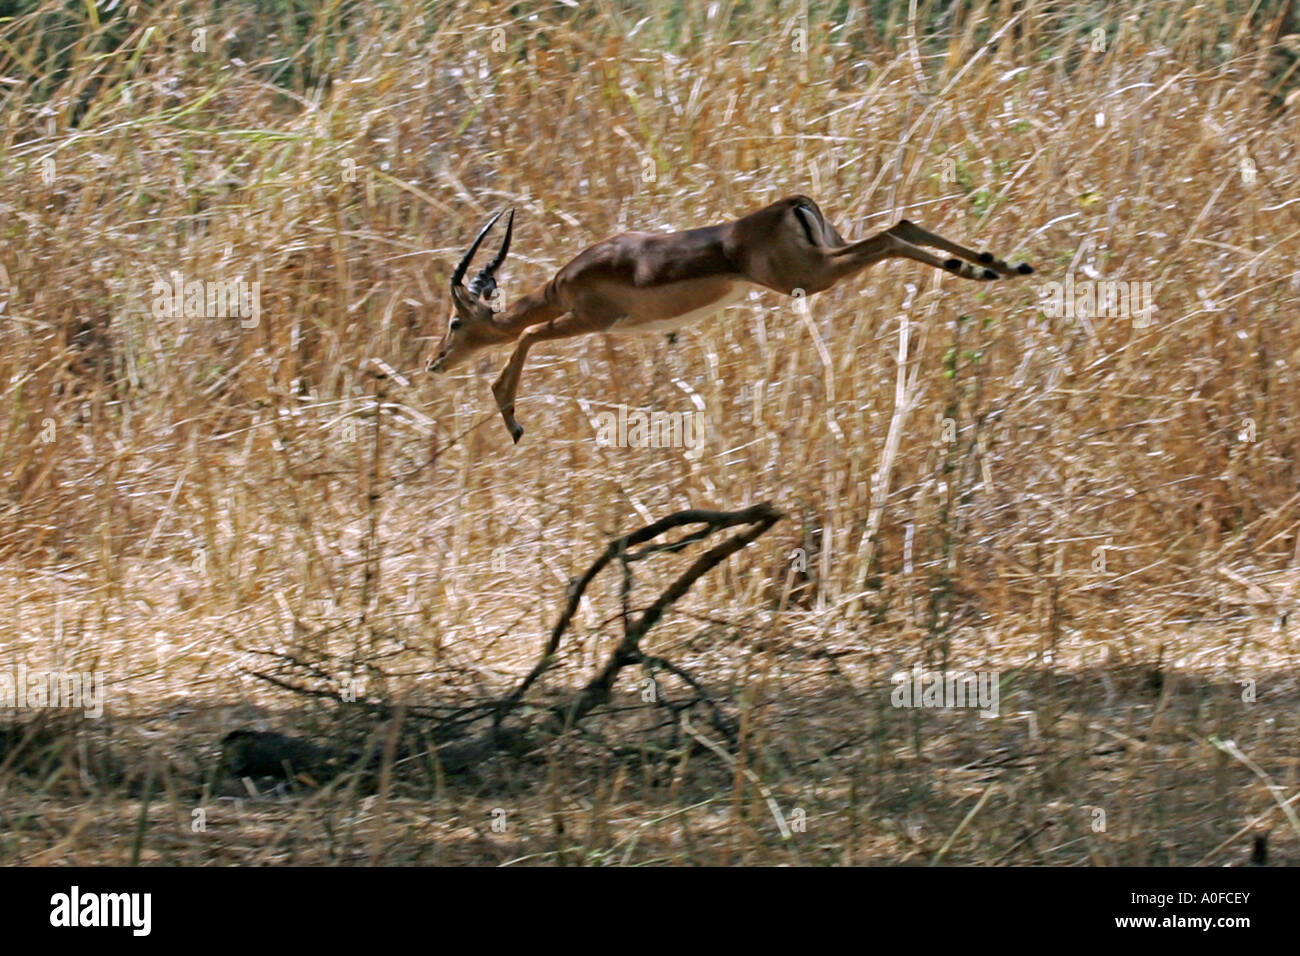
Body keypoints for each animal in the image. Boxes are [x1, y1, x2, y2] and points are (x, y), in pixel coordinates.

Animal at [430, 196, 1034, 443]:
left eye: (455, 322)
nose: (434, 362)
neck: (564, 283)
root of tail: (793, 203)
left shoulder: (588, 319)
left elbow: (527, 334)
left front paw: (512, 421)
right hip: (827, 259)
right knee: (903, 224)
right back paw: (998, 265)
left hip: (814, 275)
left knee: (890, 235)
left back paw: (981, 267)